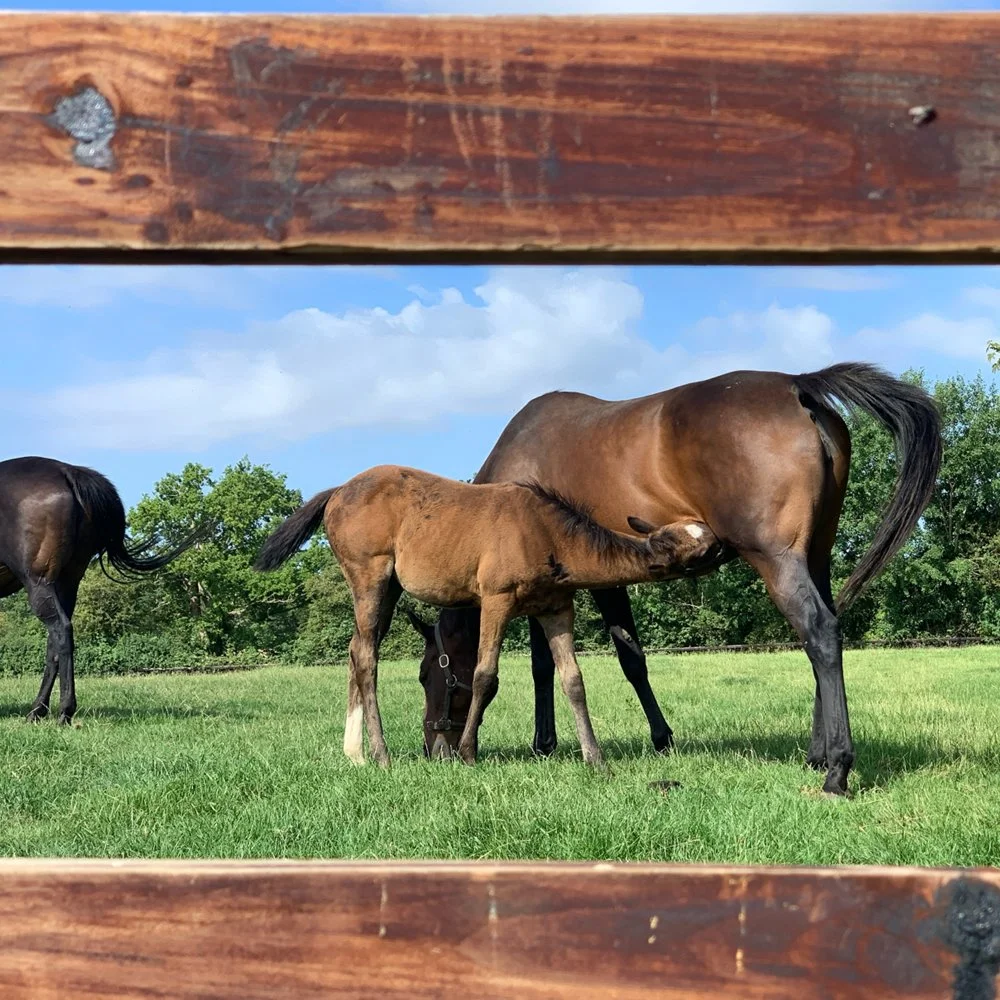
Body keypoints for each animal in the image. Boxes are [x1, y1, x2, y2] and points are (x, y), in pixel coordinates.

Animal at [0, 456, 205, 724]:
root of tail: (65, 471)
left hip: (39, 582)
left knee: (61, 632)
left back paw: (63, 712)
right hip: (67, 582)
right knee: (55, 642)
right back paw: (38, 710)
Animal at [253, 464, 727, 768]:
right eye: (705, 550)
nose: (727, 545)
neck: (544, 532)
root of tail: (337, 490)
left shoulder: (556, 608)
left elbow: (573, 681)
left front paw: (595, 758)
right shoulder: (495, 601)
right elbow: (485, 675)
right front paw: (467, 752)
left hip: (388, 590)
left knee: (356, 650)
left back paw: (354, 754)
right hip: (370, 578)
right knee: (367, 657)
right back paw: (381, 755)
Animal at [408, 362, 942, 797]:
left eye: (426, 673)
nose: (433, 749)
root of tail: (796, 386)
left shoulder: (577, 586)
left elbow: (568, 664)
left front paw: (546, 743)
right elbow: (624, 658)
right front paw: (660, 738)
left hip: (777, 559)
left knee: (821, 633)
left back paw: (837, 772)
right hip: (817, 556)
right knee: (824, 635)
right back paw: (817, 755)